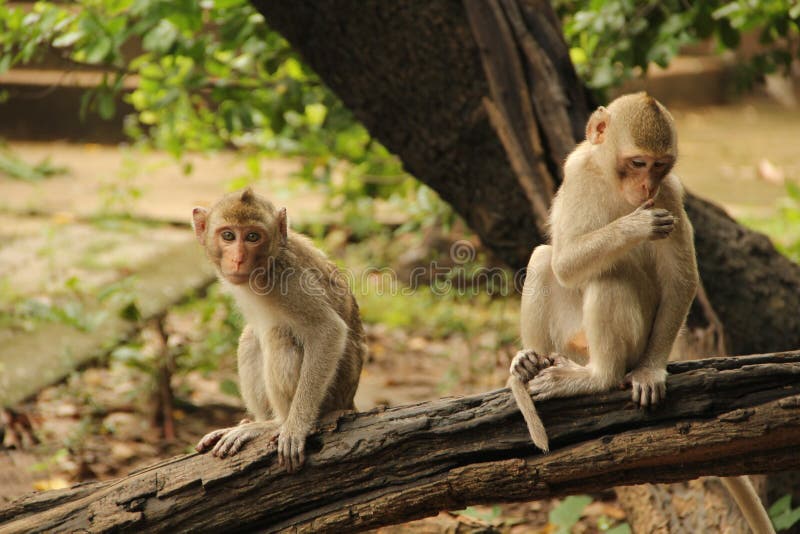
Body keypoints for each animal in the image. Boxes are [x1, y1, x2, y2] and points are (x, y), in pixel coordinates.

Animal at [191, 188, 365, 472]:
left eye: (252, 237)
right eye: (228, 236)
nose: (237, 259)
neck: (267, 264)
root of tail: (350, 400)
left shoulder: (289, 279)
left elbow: (328, 331)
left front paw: (295, 427)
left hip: (333, 394)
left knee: (278, 335)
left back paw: (275, 423)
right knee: (251, 337)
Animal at [508, 93, 775, 534]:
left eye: (659, 165)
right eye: (637, 163)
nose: (647, 186)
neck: (611, 181)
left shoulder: (671, 195)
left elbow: (681, 280)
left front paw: (650, 371)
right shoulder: (578, 173)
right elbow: (564, 262)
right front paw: (634, 226)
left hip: (626, 341)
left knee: (609, 279)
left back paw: (599, 377)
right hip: (572, 342)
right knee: (546, 259)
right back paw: (533, 360)